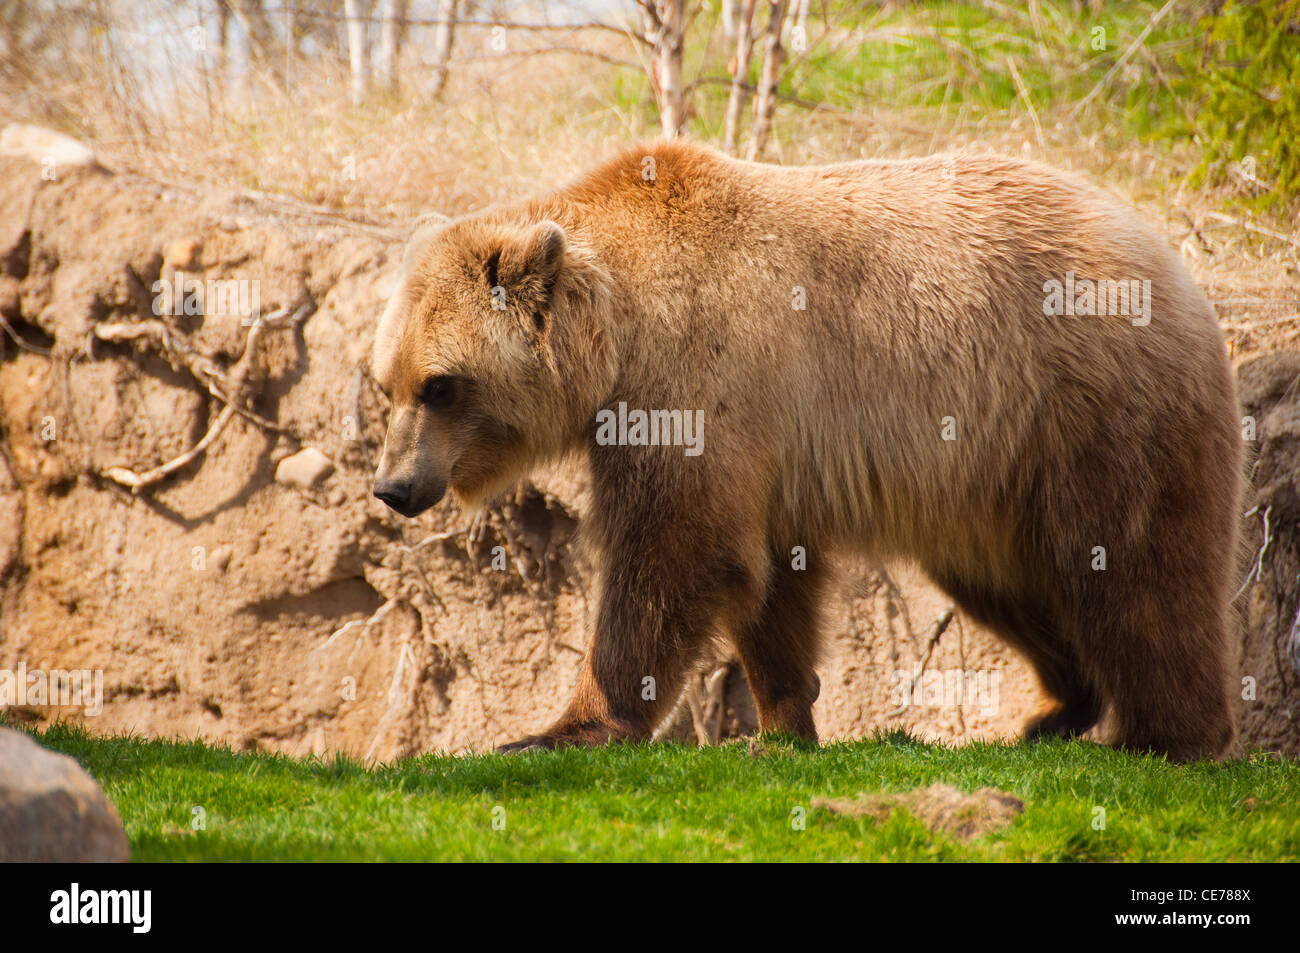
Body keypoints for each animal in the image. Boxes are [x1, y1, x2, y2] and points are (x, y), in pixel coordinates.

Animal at [370, 139, 1241, 762]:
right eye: (389, 383)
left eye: (441, 385)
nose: (393, 486)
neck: (619, 325)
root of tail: (1178, 266)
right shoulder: (768, 446)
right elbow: (769, 580)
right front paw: (785, 720)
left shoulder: (696, 375)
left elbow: (674, 549)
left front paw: (560, 727)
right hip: (989, 476)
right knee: (1007, 582)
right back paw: (1057, 709)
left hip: (1085, 403)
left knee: (1135, 567)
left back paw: (1171, 735)